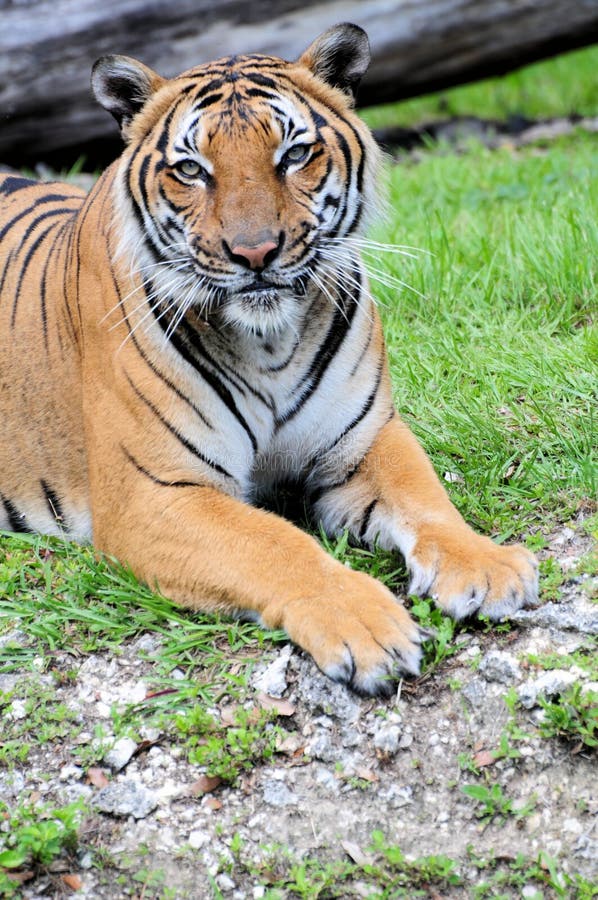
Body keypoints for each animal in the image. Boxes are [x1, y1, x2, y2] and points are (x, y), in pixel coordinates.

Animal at [0, 24, 538, 695]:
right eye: (191, 169)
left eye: (294, 155)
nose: (255, 253)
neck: (270, 344)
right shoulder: (155, 492)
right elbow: (273, 544)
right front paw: (365, 623)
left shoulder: (362, 440)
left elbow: (426, 499)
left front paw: (487, 566)